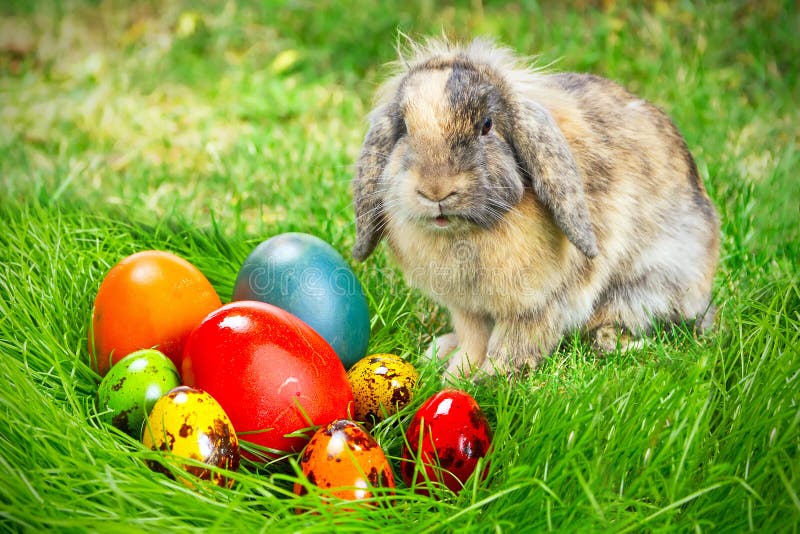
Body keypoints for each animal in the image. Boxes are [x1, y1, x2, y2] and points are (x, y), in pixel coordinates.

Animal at [352, 37, 720, 377]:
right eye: (404, 129)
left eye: (487, 125)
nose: (436, 190)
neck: (466, 233)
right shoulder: (467, 309)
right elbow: (473, 339)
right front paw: (458, 371)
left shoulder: (537, 305)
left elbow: (513, 344)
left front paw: (483, 380)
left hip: (648, 282)